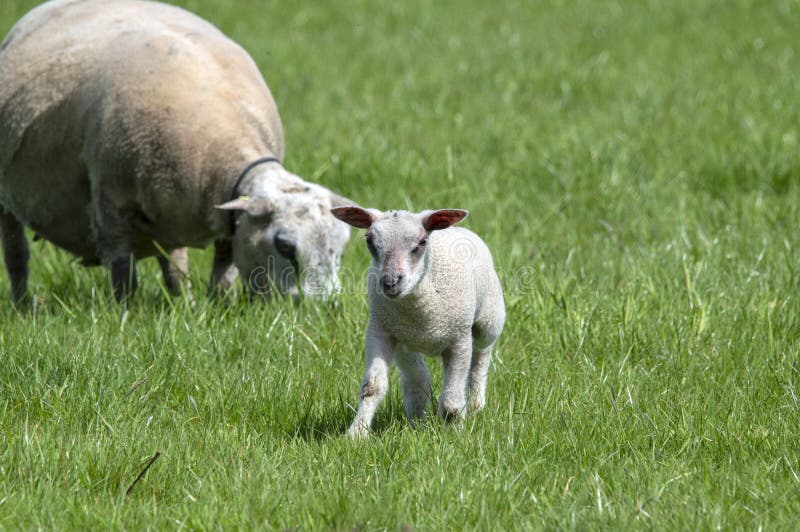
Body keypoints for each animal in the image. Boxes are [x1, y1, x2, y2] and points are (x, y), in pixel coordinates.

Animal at [0, 0, 351, 304]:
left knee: (173, 259)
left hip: (167, 208)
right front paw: (126, 312)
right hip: (9, 199)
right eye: (284, 246)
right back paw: (23, 304)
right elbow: (122, 268)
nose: (322, 307)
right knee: (16, 252)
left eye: (341, 248)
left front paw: (220, 305)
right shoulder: (111, 202)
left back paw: (184, 301)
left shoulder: (229, 219)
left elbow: (224, 267)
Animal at [331, 206, 505, 438]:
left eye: (422, 242)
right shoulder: (380, 332)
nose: (390, 282)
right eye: (369, 240)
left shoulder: (460, 336)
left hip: (489, 319)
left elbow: (452, 397)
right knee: (417, 377)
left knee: (480, 361)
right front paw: (356, 434)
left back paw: (476, 406)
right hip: (404, 339)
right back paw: (417, 420)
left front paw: (454, 432)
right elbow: (373, 387)